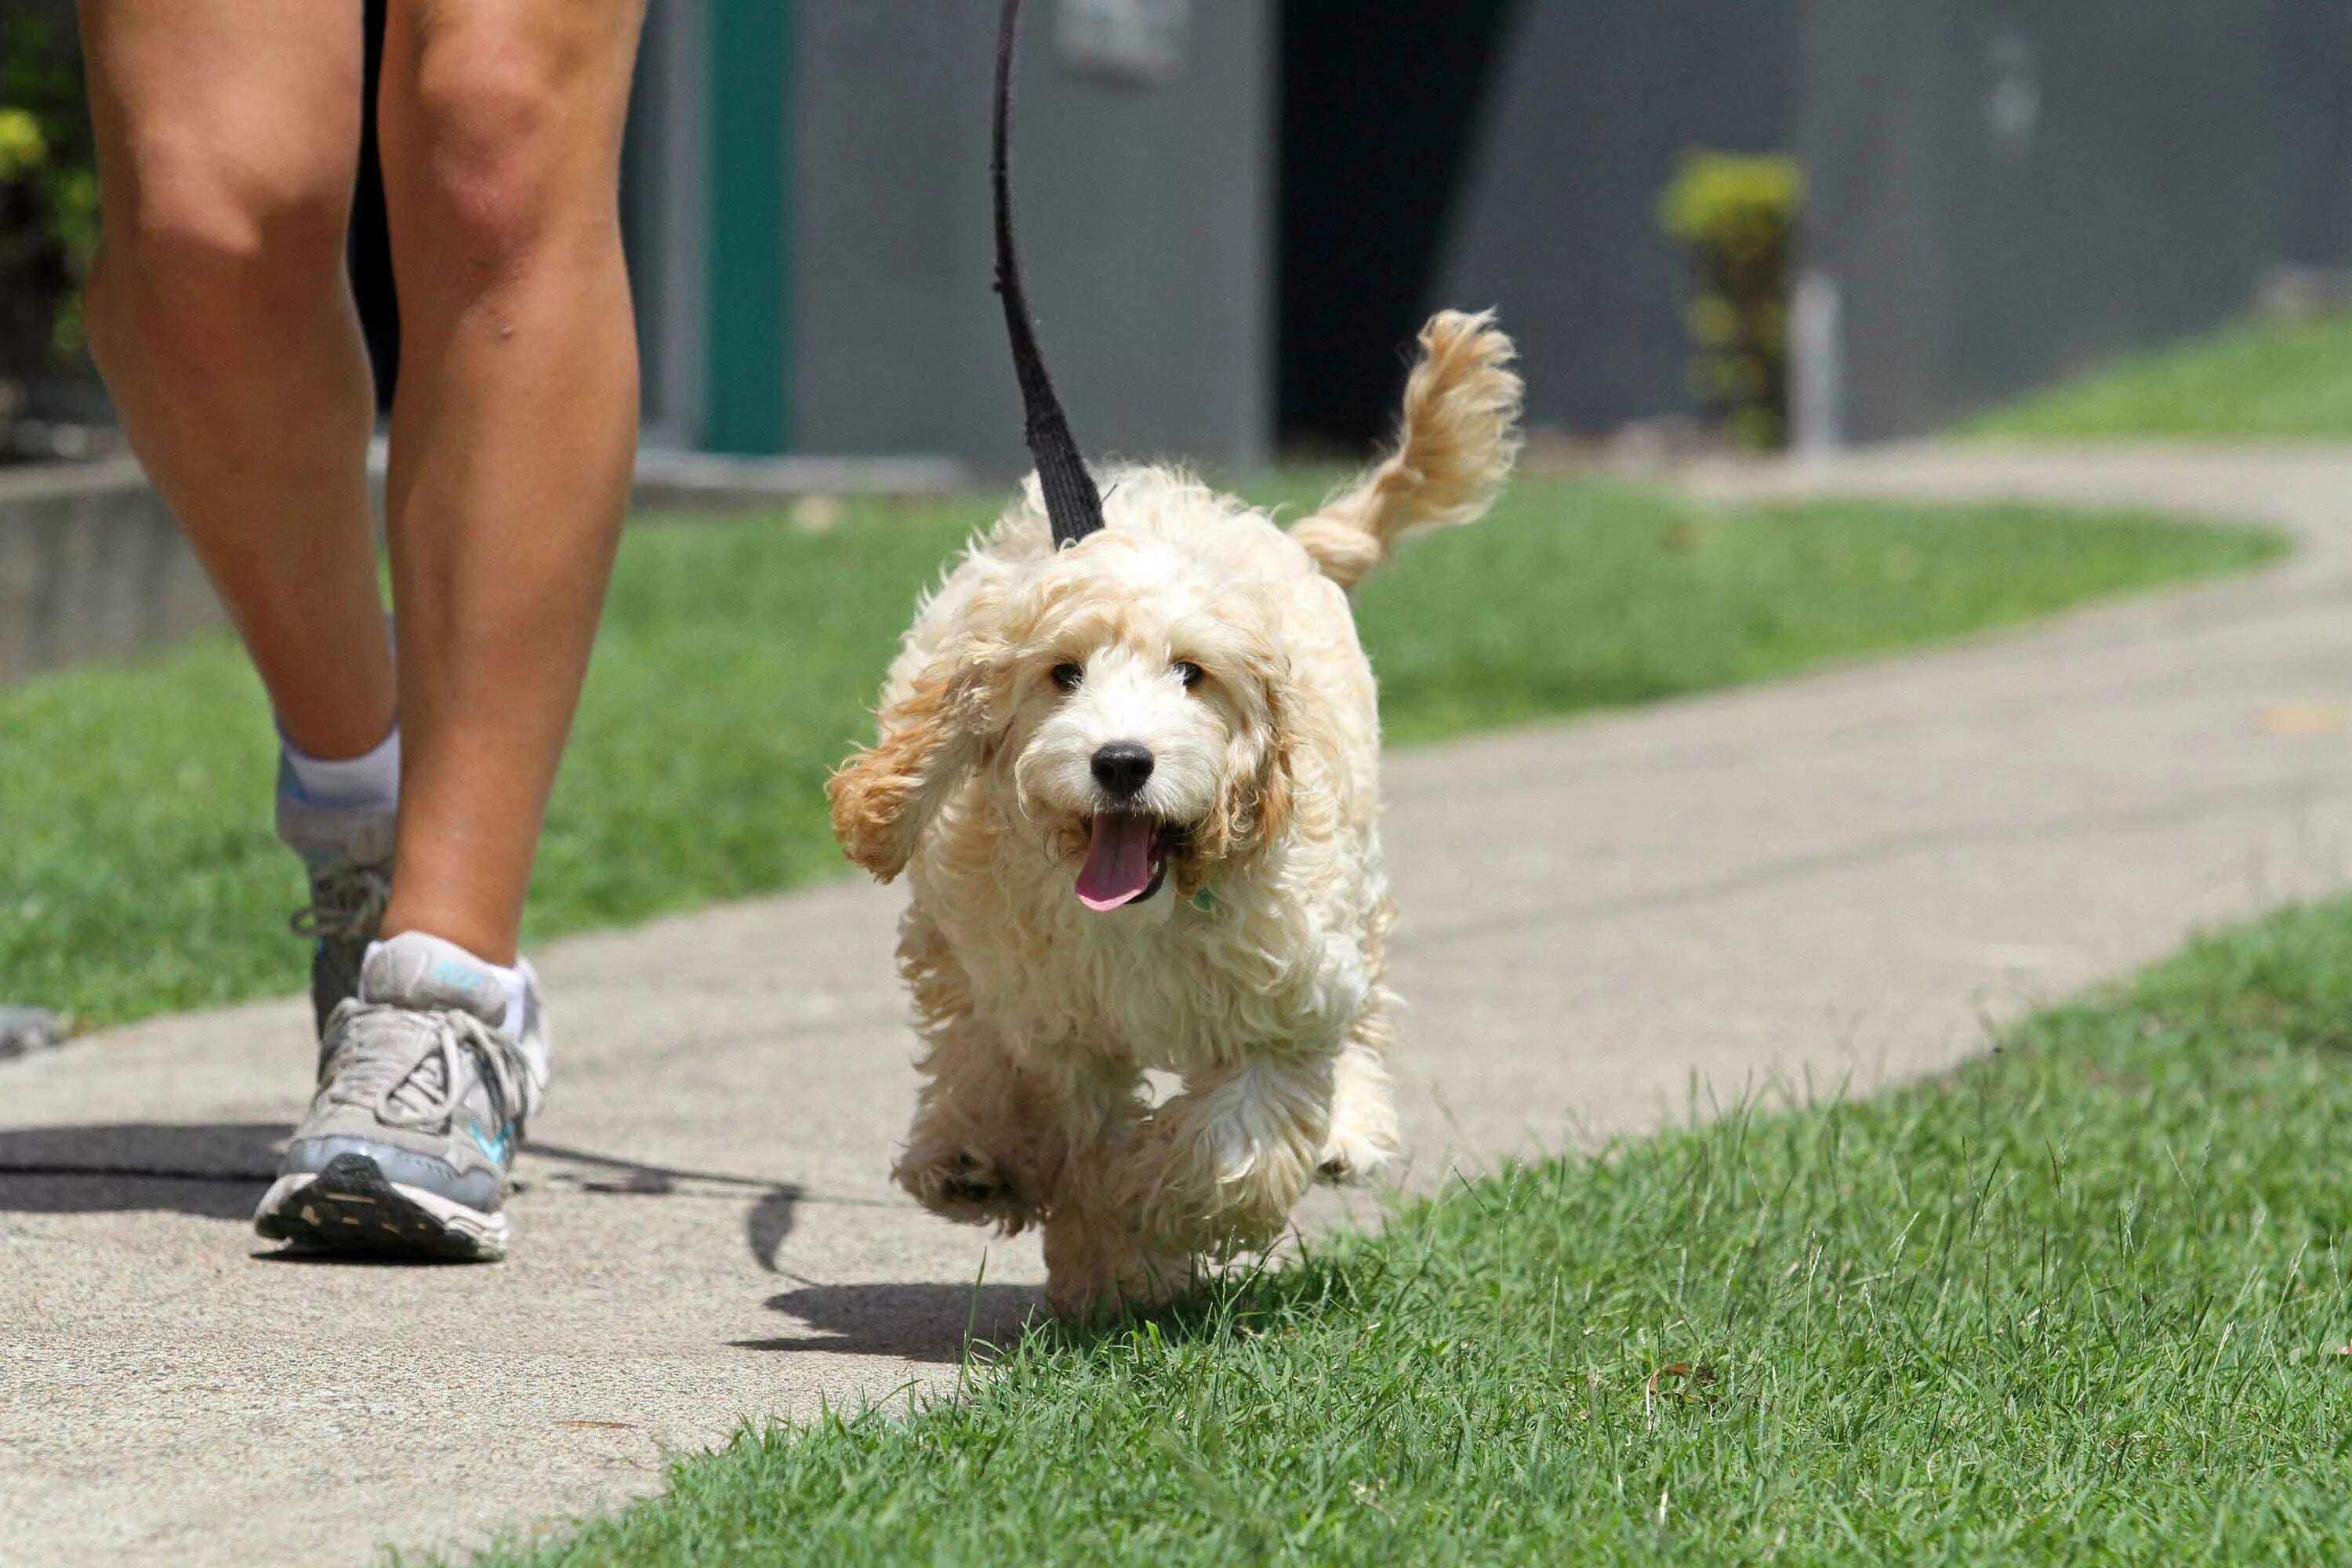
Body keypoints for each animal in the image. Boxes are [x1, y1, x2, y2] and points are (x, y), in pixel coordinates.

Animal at [828, 312, 1524, 1316]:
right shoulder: (1052, 1021)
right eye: (1063, 673)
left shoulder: (1282, 1004)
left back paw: (1348, 1127)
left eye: (1192, 673)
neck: (1143, 911)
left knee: (1363, 1008)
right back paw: (964, 1154)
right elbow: (1063, 1110)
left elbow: (1228, 1150)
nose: (1121, 761)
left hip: (1353, 877)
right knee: (963, 1029)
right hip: (957, 937)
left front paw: (1129, 1222)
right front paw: (1100, 1248)